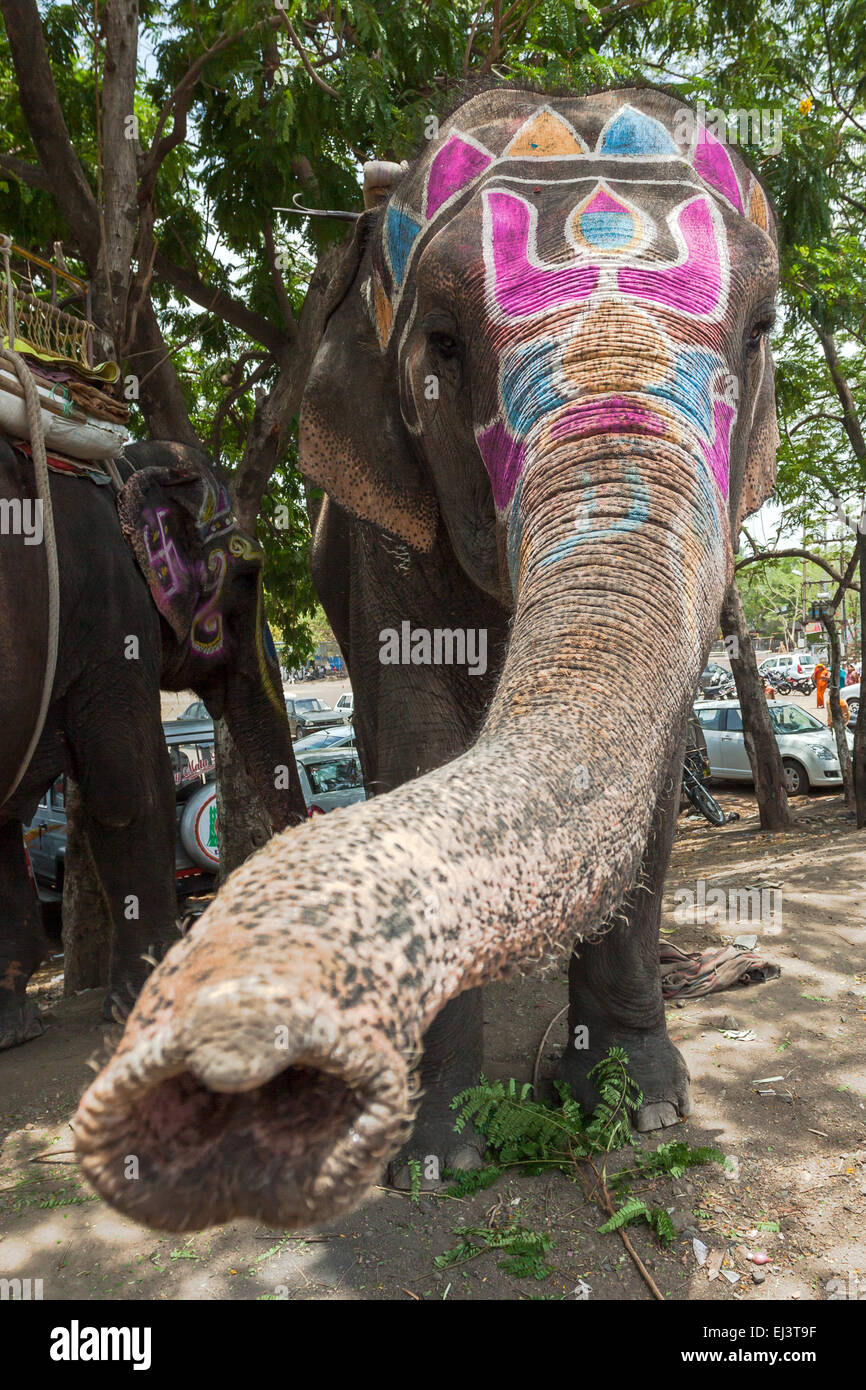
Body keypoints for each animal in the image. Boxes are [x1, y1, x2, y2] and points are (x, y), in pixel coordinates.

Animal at [0, 437, 306, 1049]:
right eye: (250, 574)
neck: (125, 464)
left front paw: (11, 1028)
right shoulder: (111, 614)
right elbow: (130, 787)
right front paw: (144, 999)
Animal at [74, 84, 780, 1231]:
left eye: (760, 333)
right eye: (441, 345)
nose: (209, 1078)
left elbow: (656, 772)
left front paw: (637, 1109)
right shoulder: (379, 536)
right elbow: (414, 737)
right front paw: (436, 1157)